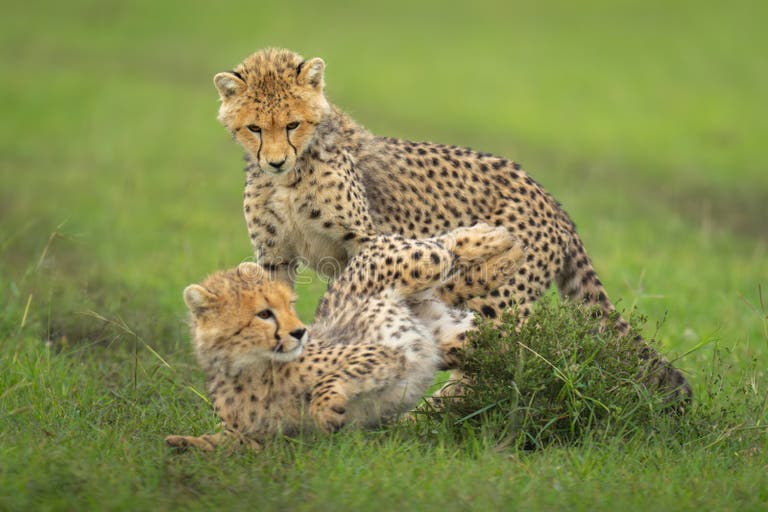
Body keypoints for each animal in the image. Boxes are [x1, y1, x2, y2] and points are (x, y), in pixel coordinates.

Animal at [165, 223, 525, 451]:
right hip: (460, 340)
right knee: (483, 313)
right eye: (264, 314)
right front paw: (183, 444)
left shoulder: (378, 353)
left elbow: (327, 383)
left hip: (416, 264)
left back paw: (498, 239)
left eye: (290, 305)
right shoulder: (260, 438)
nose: (300, 331)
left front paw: (327, 410)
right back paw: (506, 259)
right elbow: (225, 441)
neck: (251, 367)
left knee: (446, 245)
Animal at [210, 47, 691, 400]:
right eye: (254, 127)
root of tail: (554, 202)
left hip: (503, 296)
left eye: (293, 123)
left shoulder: (364, 241)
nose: (274, 160)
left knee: (499, 353)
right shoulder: (275, 257)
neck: (288, 177)